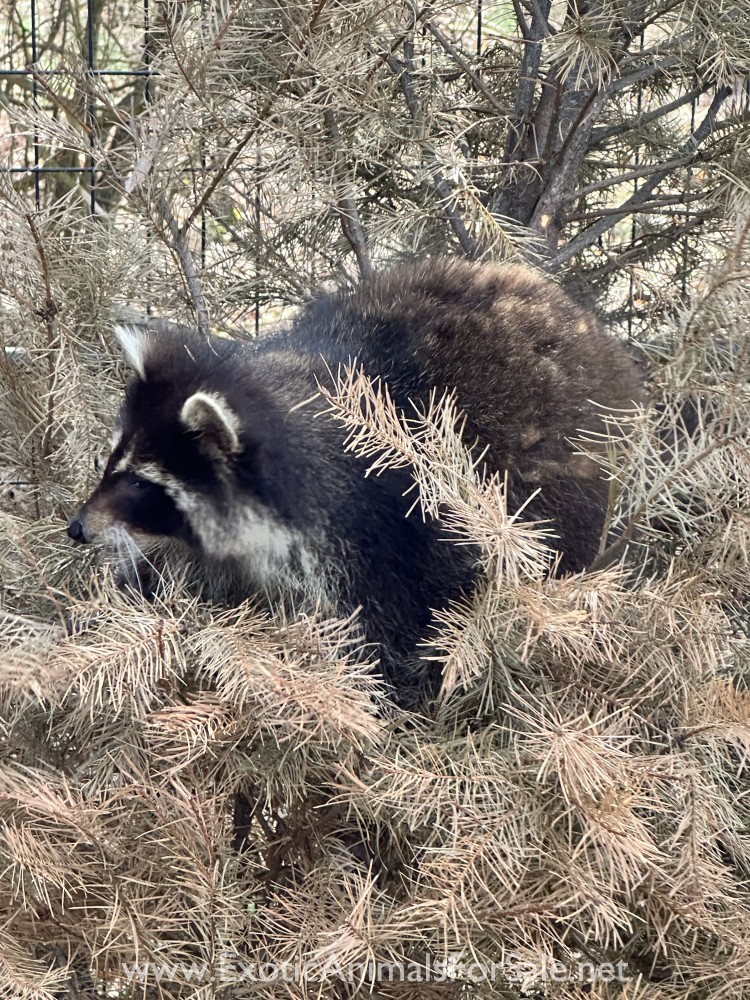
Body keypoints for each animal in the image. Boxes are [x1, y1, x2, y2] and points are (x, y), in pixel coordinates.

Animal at [68, 259, 644, 691]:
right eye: (111, 462)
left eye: (142, 484)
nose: (76, 529)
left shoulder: (379, 533)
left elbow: (388, 634)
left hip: (555, 486)